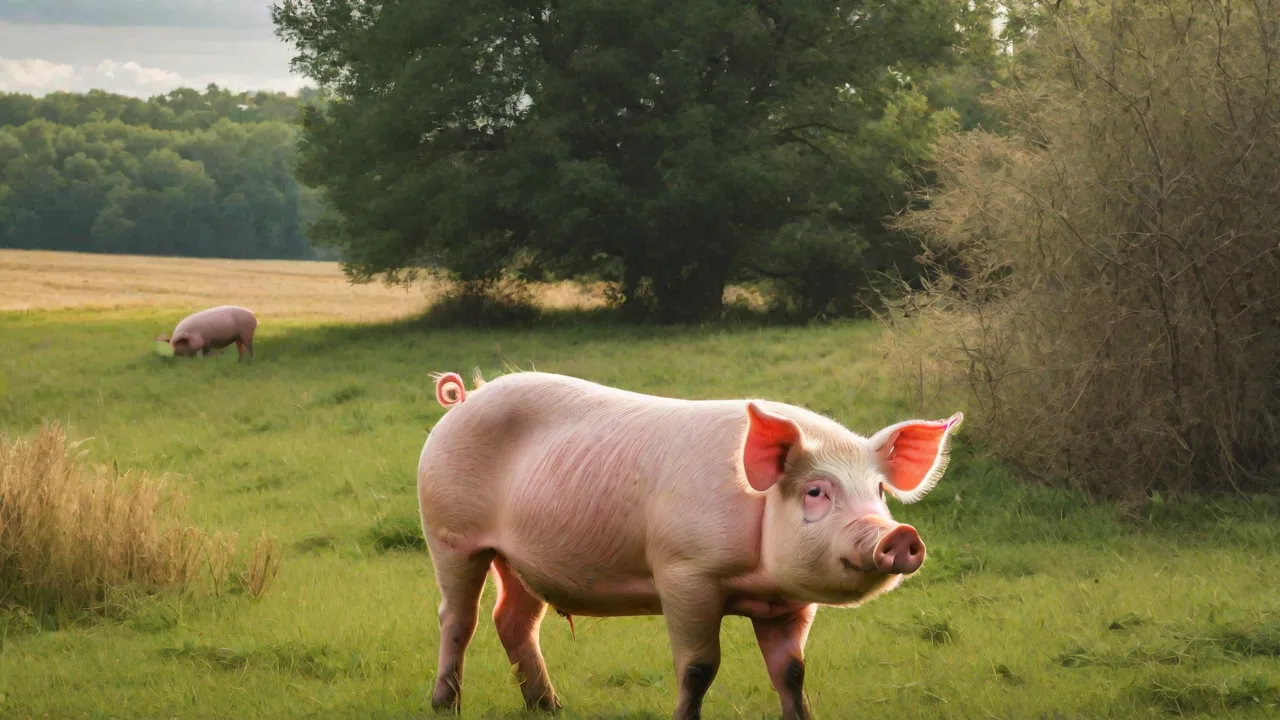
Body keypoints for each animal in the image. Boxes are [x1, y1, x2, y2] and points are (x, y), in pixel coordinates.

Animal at [417, 369, 963, 720]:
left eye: (879, 492)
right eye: (816, 491)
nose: (899, 534)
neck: (759, 581)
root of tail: (464, 399)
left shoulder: (791, 603)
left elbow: (791, 672)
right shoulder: (684, 572)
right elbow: (699, 668)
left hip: (520, 560)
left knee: (512, 620)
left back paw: (550, 707)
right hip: (450, 535)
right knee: (457, 617)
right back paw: (445, 705)